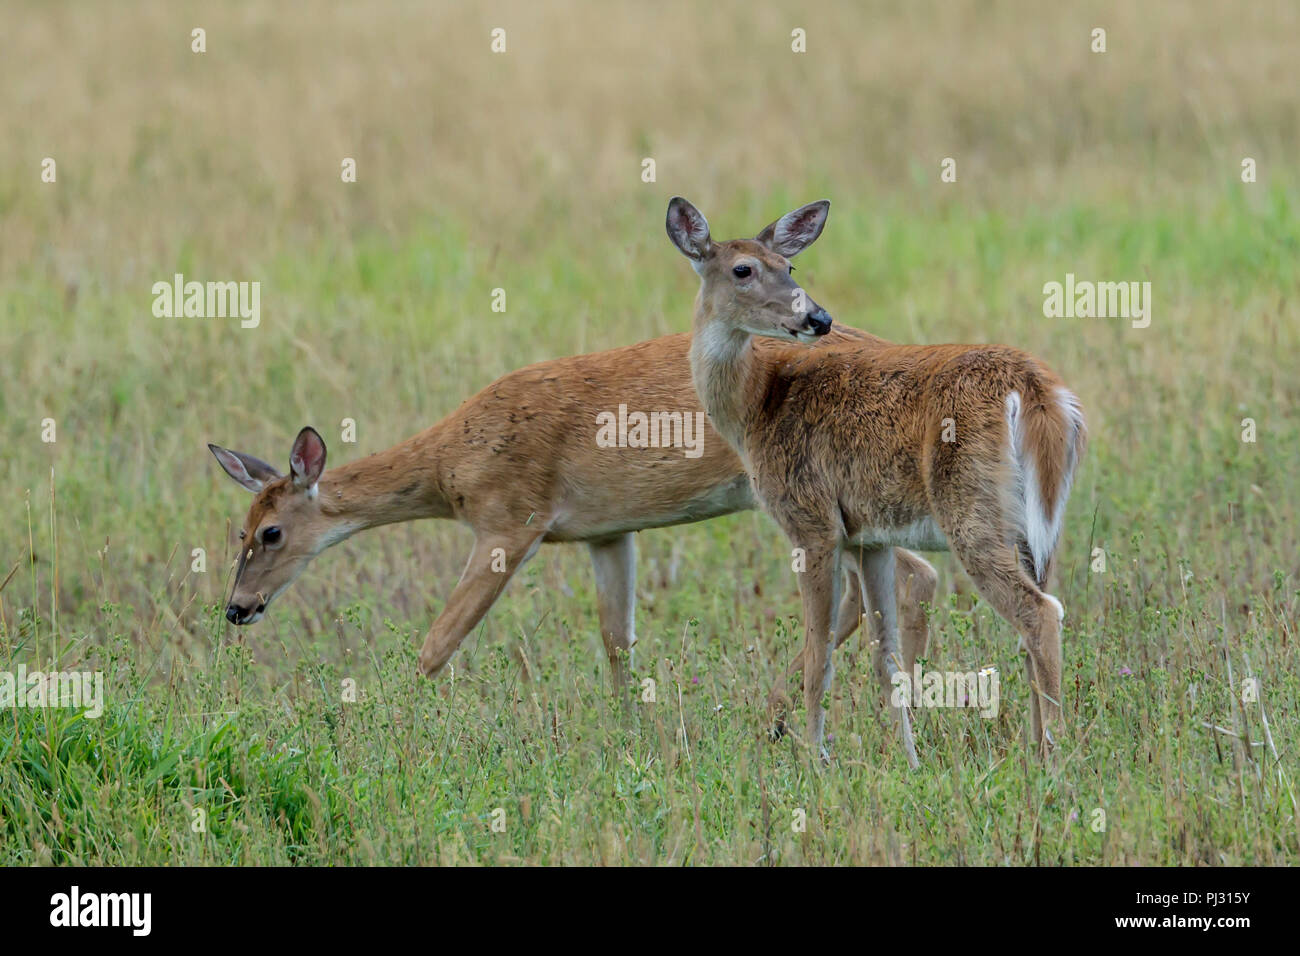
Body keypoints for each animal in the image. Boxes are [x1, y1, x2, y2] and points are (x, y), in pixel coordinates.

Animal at [208, 331, 939, 701]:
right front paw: (627, 734)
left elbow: (436, 644)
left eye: (271, 532)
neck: (448, 466)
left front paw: (393, 725)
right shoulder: (608, 532)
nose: (237, 608)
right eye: (238, 531)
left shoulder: (510, 520)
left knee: (913, 574)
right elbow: (616, 642)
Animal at [665, 197, 1086, 766]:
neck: (756, 406)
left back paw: (1055, 760)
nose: (818, 318)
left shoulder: (812, 523)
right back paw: (1035, 751)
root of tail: (1035, 388)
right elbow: (885, 659)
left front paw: (816, 760)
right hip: (1038, 530)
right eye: (743, 269)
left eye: (789, 266)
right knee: (1037, 618)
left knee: (1038, 614)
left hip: (973, 512)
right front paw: (908, 762)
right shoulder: (871, 539)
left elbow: (819, 655)